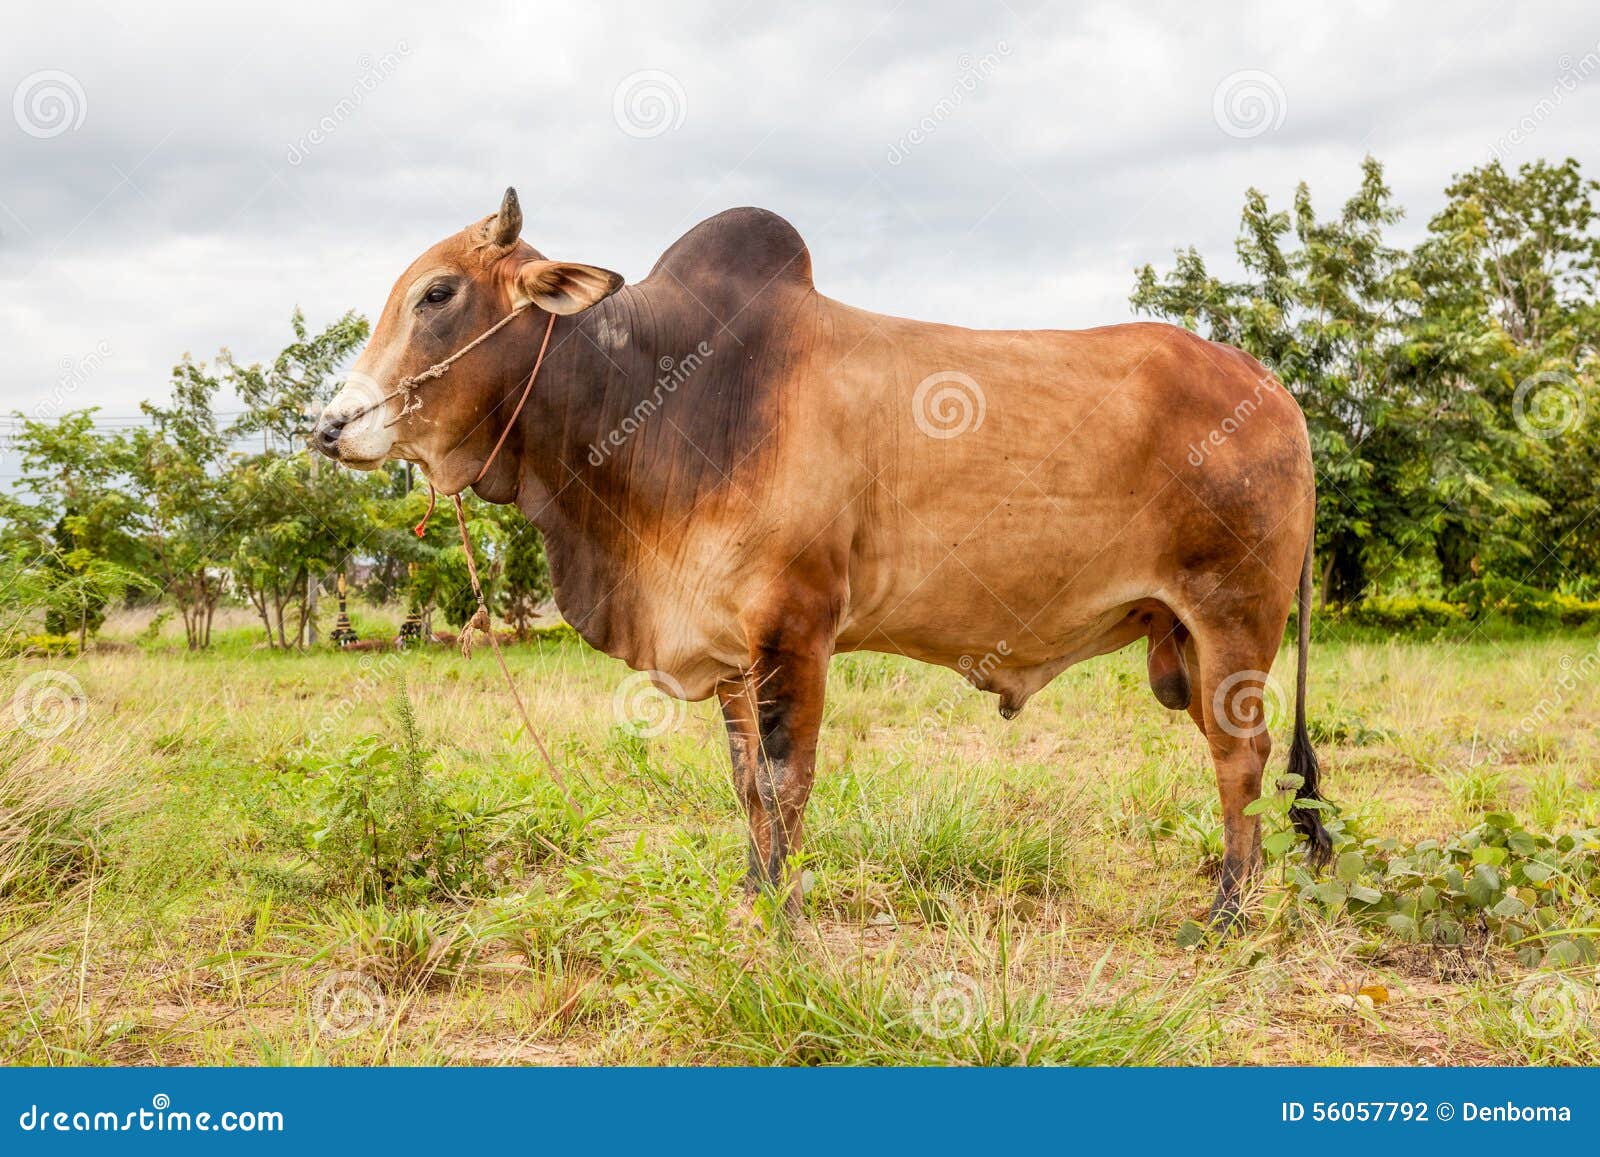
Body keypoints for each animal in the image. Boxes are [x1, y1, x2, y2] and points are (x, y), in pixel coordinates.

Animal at [313, 188, 1332, 925]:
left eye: (438, 293)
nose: (330, 425)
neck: (659, 394)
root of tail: (1271, 385)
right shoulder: (728, 646)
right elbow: (743, 784)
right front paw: (750, 892)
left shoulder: (794, 628)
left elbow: (782, 778)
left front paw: (782, 912)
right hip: (1185, 642)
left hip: (1235, 623)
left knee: (1242, 759)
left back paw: (1230, 911)